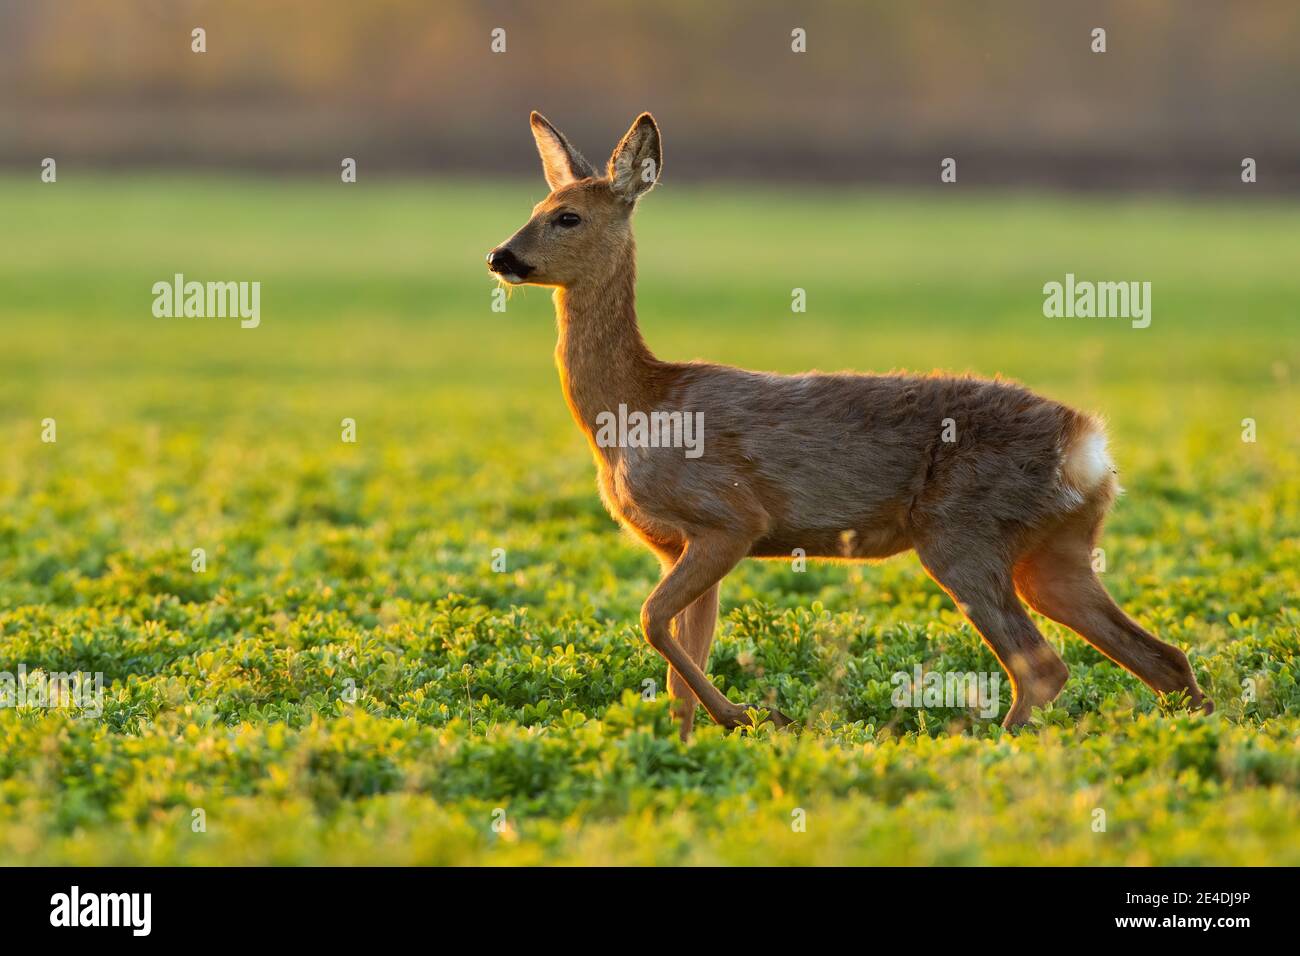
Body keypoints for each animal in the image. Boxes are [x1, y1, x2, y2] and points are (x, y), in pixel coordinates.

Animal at [486, 111, 1213, 739]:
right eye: (533, 208)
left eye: (567, 216)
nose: (500, 257)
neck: (635, 406)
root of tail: (1087, 443)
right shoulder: (675, 542)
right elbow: (676, 668)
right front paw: (693, 743)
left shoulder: (729, 518)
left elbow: (651, 621)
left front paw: (750, 715)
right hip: (1053, 550)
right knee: (1163, 658)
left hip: (961, 529)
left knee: (1043, 667)